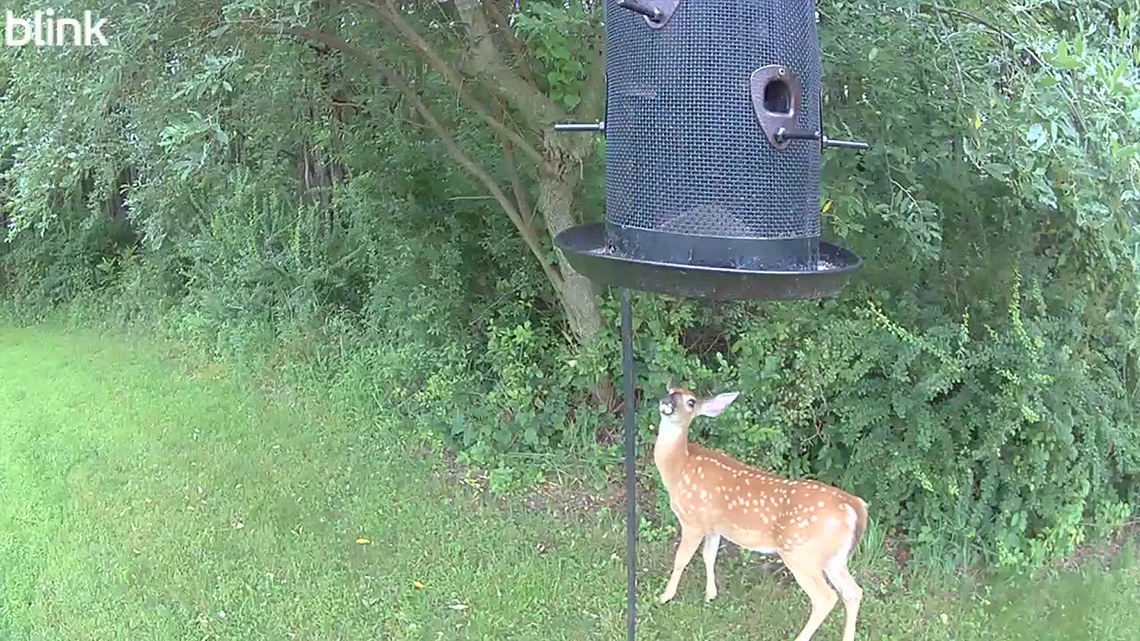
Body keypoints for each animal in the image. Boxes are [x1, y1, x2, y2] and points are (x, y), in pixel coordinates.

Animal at [651, 381, 868, 641]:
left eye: (691, 402)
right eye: (670, 390)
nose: (666, 401)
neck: (679, 467)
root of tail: (855, 507)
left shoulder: (693, 520)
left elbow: (681, 559)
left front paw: (665, 596)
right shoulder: (714, 525)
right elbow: (709, 555)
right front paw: (711, 594)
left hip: (801, 553)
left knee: (825, 597)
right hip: (834, 558)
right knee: (853, 591)